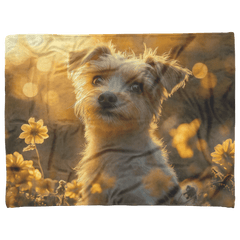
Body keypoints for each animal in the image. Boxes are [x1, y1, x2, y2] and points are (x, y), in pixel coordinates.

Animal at [69, 42, 191, 205]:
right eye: (97, 80)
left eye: (136, 87)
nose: (107, 97)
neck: (114, 148)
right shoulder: (93, 197)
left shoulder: (138, 197)